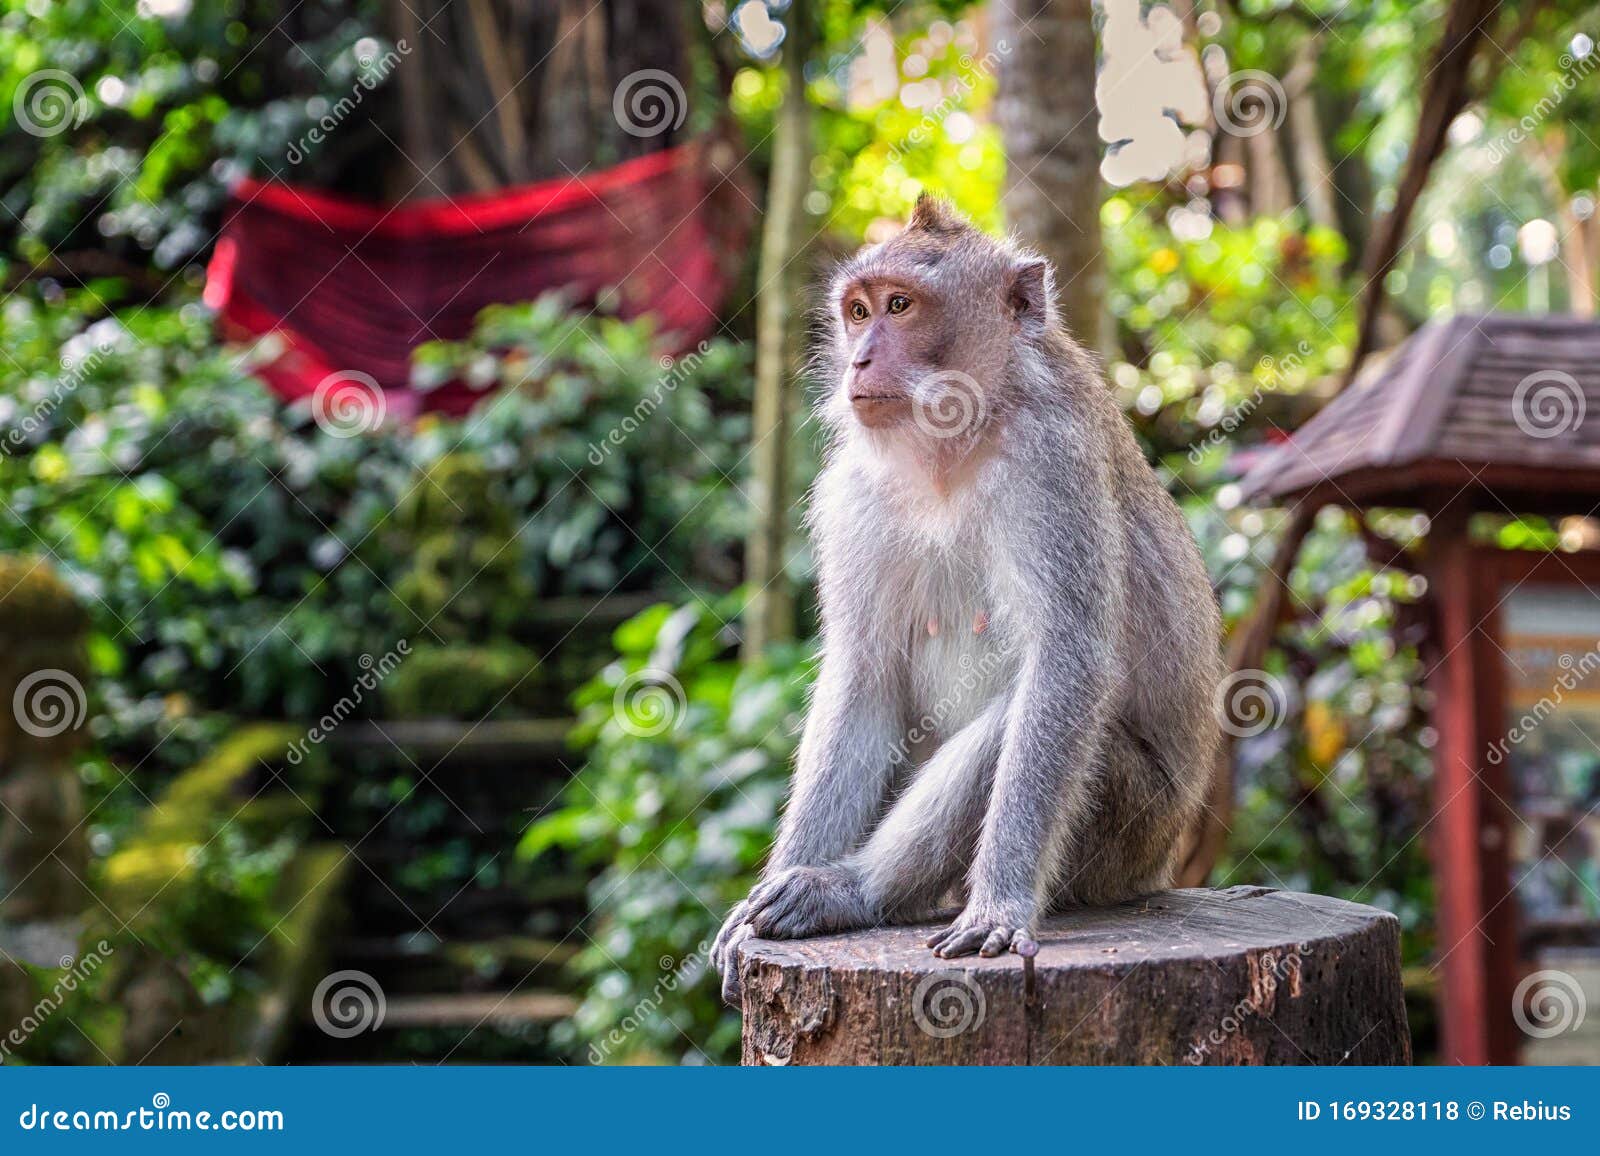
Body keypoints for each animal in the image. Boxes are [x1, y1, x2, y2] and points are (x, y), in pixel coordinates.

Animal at [710, 195, 1222, 1004]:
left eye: (900, 305)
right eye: (858, 311)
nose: (858, 361)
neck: (954, 443)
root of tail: (1164, 868)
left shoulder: (1051, 462)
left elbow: (1067, 660)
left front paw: (998, 904)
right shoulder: (852, 489)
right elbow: (864, 678)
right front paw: (765, 898)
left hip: (1132, 834)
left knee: (1036, 719)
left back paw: (859, 891)